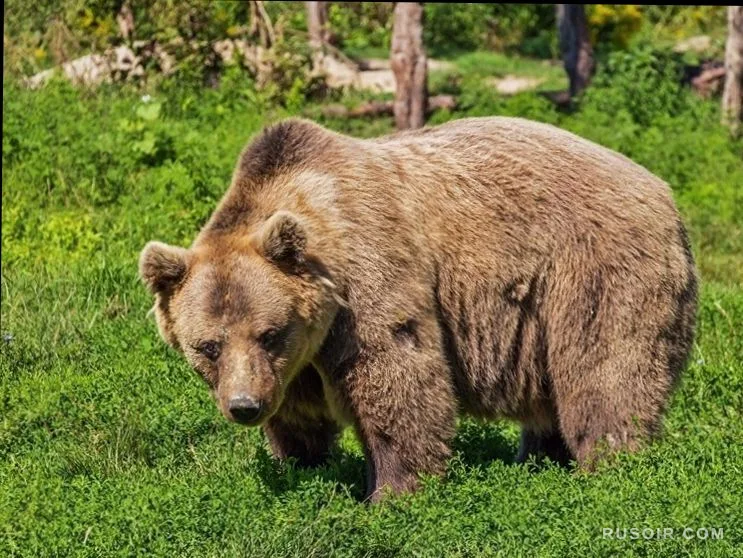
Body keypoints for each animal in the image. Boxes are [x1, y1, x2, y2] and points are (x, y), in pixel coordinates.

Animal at [139, 116, 698, 501]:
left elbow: (398, 378)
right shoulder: (296, 359)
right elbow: (298, 413)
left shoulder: (367, 280)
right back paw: (538, 460)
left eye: (269, 332)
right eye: (207, 346)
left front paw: (390, 493)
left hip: (594, 272)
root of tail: (664, 191)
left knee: (605, 373)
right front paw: (303, 465)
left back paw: (610, 468)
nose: (244, 407)